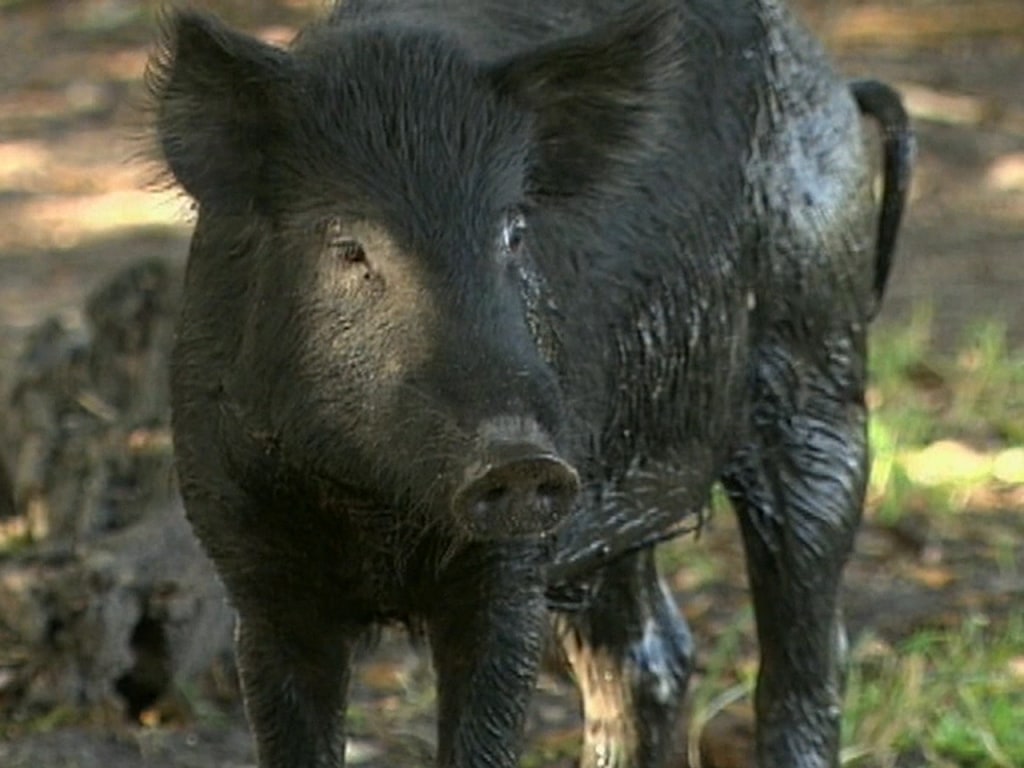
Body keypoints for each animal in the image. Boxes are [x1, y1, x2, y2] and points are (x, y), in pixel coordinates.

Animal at [148, 0, 912, 766]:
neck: (381, 506)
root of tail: (836, 88)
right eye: (348, 246)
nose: (517, 457)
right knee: (648, 658)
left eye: (512, 232)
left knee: (808, 661)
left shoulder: (511, 570)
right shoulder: (252, 567)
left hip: (822, 370)